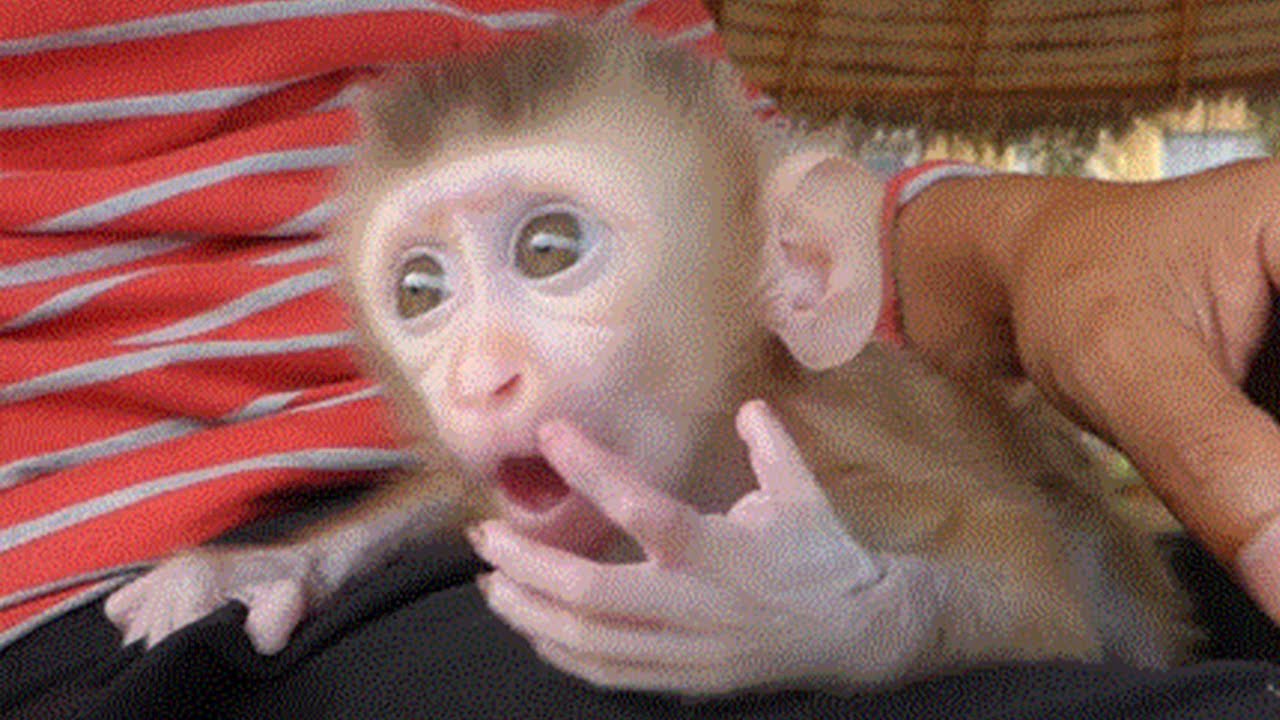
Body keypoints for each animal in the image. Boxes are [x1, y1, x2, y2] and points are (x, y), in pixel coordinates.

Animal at [104, 23, 1193, 695]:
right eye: (419, 291)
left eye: (548, 249)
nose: (477, 379)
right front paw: (257, 568)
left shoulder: (831, 451)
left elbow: (1040, 603)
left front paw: (783, 607)